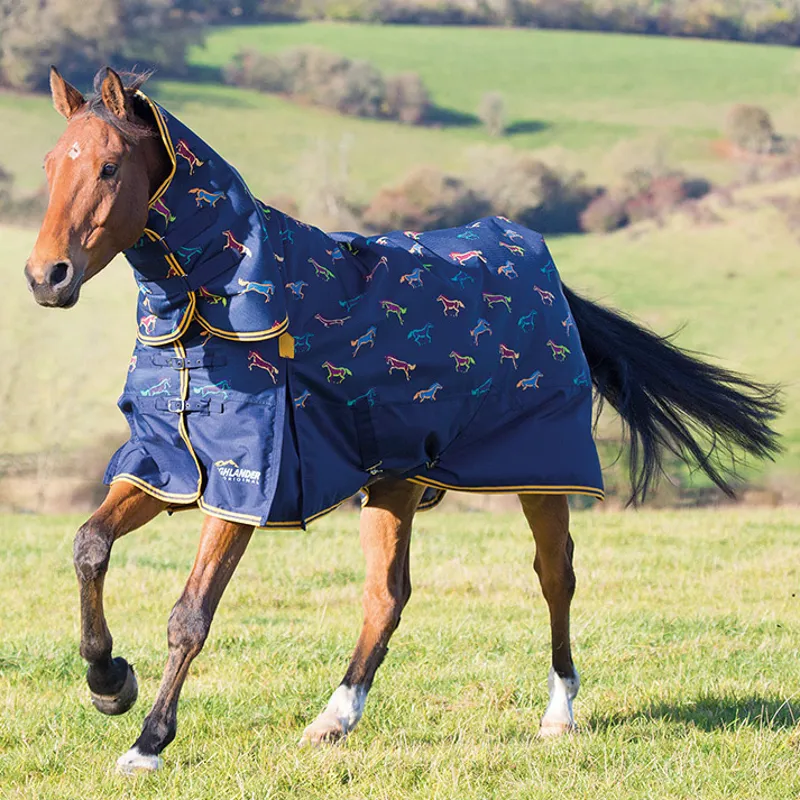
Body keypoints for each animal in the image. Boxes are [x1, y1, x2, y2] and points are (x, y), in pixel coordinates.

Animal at [23, 67, 780, 774]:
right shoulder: (171, 466)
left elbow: (191, 614)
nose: (45, 277)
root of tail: (549, 276)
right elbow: (89, 546)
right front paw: (108, 682)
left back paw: (559, 712)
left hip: (539, 469)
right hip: (396, 480)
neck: (206, 314)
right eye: (50, 164)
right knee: (388, 595)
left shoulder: (248, 482)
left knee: (554, 575)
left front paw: (148, 741)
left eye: (108, 166)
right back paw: (333, 719)